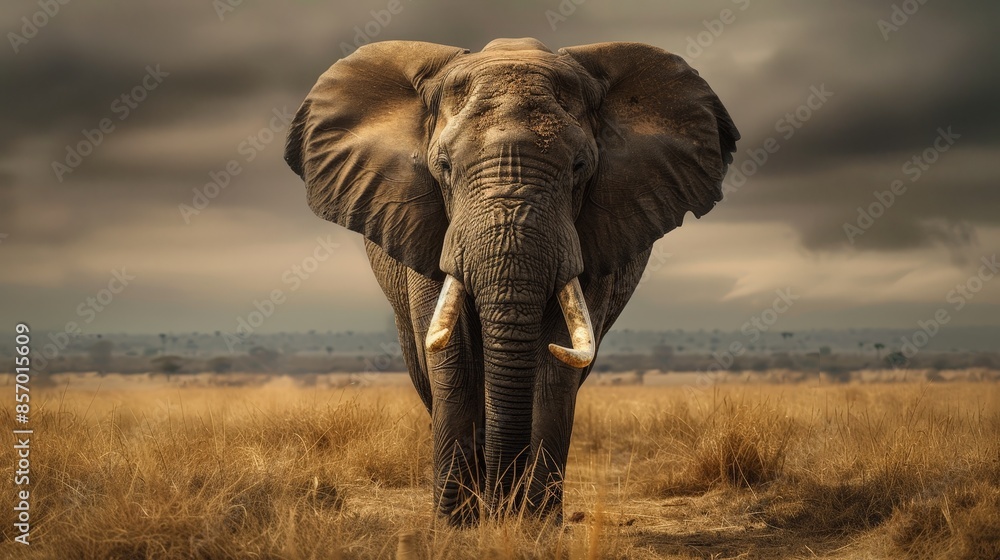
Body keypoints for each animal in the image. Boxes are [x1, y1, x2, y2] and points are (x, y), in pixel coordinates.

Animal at [284, 37, 738, 524]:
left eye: (580, 167)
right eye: (443, 167)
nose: (501, 506)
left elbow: (556, 360)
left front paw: (532, 526)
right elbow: (453, 356)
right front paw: (458, 528)